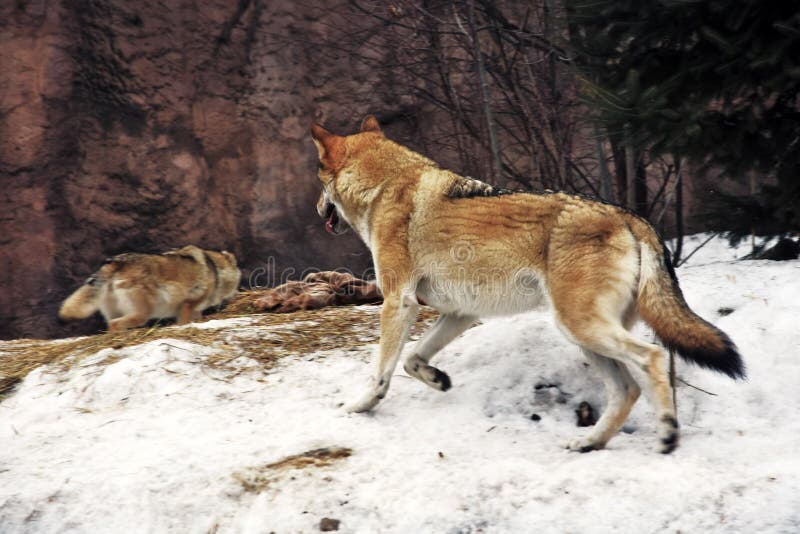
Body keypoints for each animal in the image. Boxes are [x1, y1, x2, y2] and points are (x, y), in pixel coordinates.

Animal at [59, 246, 239, 332]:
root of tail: (115, 262)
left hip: (116, 312)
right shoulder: (187, 307)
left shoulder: (195, 311)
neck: (215, 269)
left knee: (111, 325)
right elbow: (183, 322)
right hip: (142, 314)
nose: (237, 294)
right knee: (115, 324)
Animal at [311, 116, 744, 454]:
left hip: (579, 326)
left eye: (318, 181)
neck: (386, 185)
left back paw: (668, 435)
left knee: (652, 357)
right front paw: (439, 380)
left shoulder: (398, 302)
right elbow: (413, 359)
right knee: (628, 390)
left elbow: (382, 370)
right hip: (584, 336)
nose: (316, 208)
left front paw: (359, 407)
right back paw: (590, 442)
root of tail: (631, 217)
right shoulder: (460, 313)